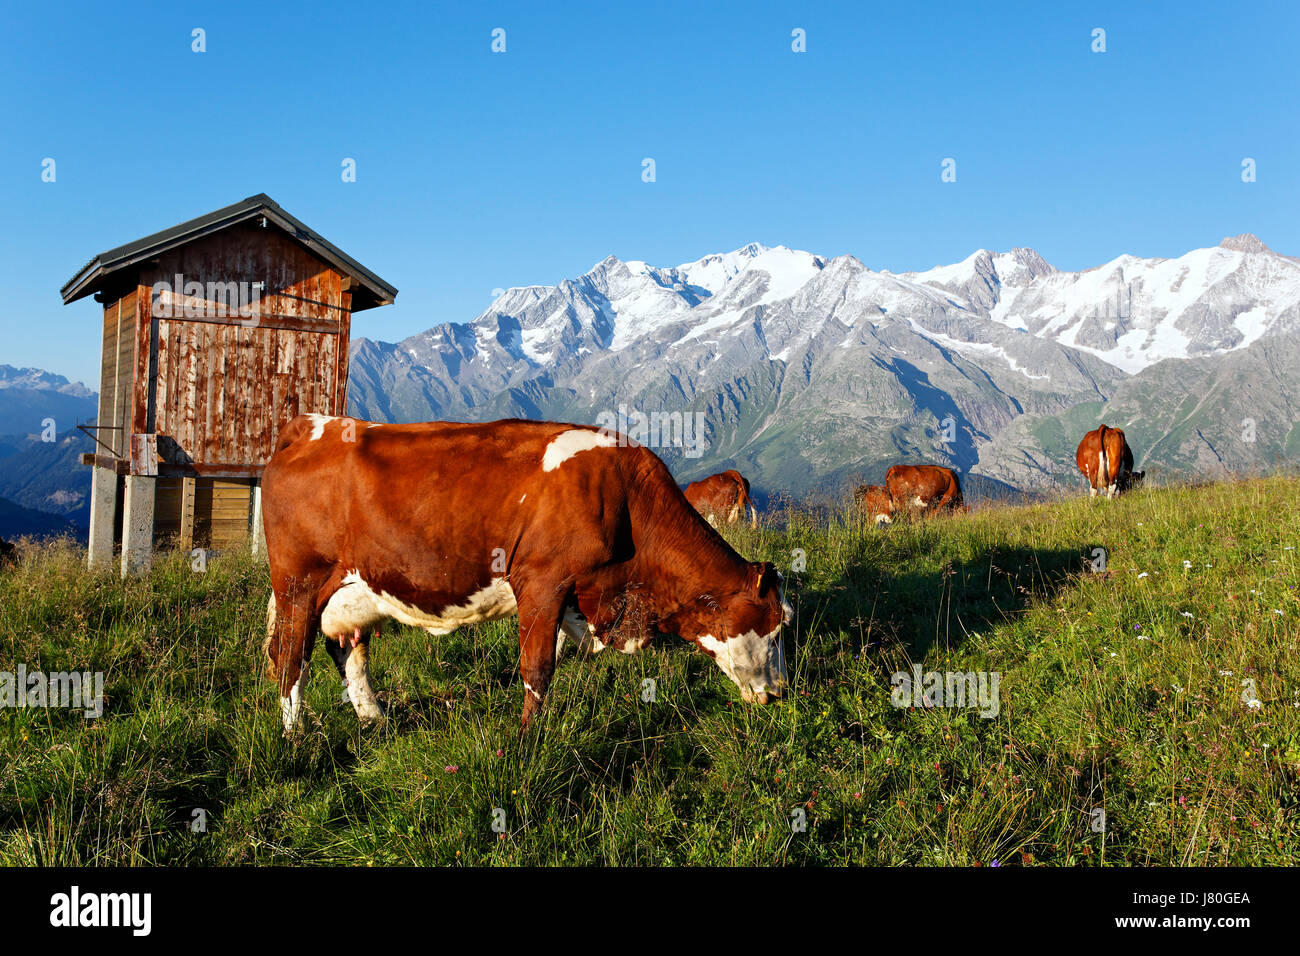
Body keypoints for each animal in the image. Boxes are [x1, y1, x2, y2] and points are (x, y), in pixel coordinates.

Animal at [260, 415, 791, 734]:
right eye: (778, 625)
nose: (783, 692)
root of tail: (313, 424)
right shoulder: (541, 582)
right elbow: (538, 668)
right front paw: (529, 740)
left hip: (351, 591)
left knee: (348, 651)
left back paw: (376, 722)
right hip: (299, 584)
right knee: (289, 657)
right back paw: (297, 737)